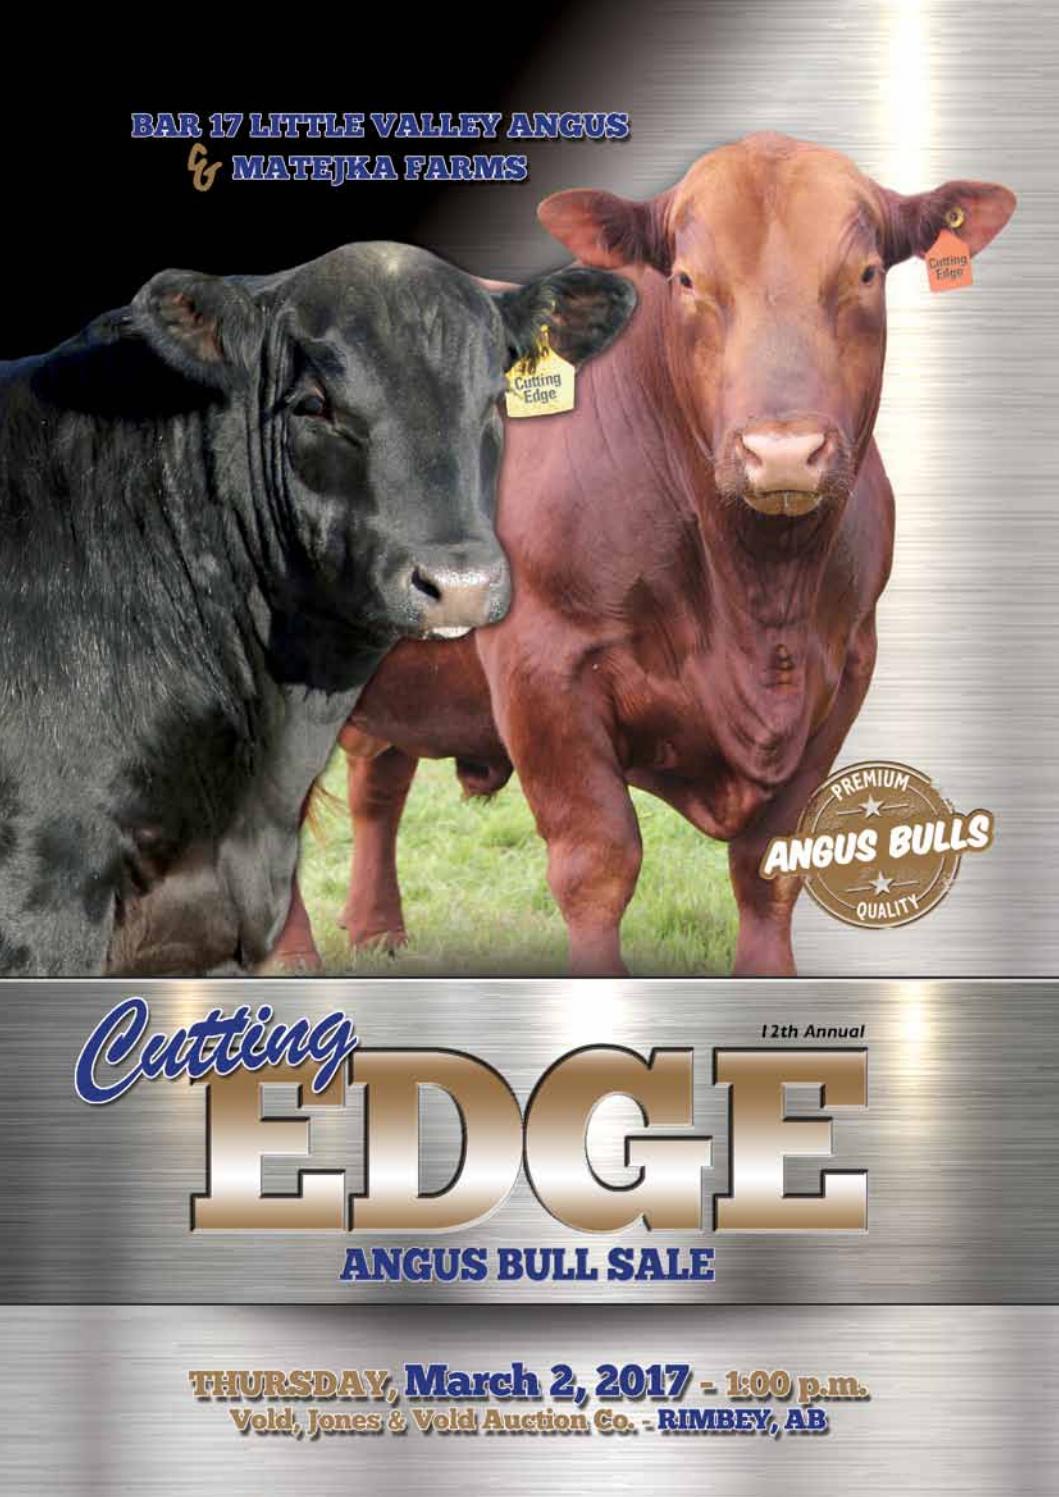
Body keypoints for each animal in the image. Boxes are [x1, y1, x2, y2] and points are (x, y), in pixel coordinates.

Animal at [273, 134, 1016, 979]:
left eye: (862, 273)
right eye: (687, 279)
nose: (781, 452)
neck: (759, 591)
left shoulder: (845, 666)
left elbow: (771, 862)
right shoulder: (542, 669)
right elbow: (598, 861)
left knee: (378, 778)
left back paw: (376, 930)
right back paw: (290, 955)